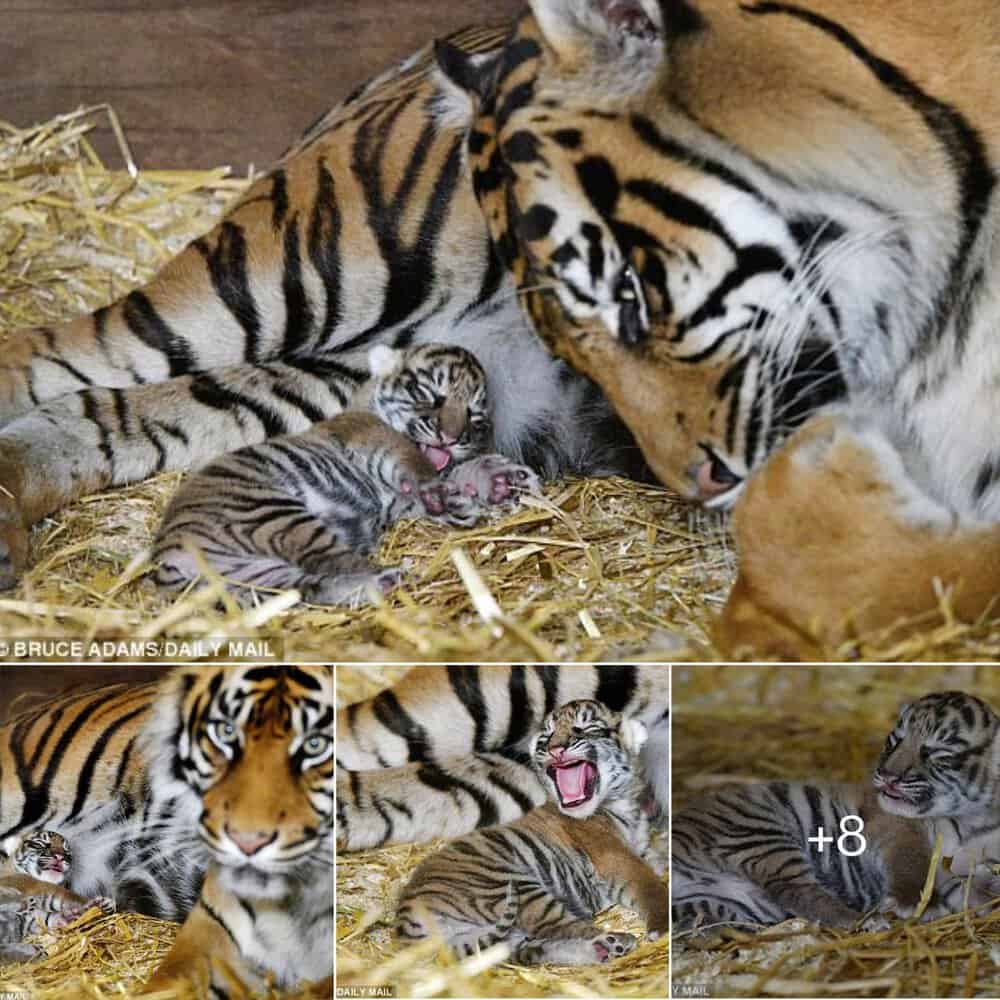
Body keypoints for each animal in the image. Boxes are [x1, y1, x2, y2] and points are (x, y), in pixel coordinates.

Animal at [153, 341, 539, 606]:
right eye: (432, 394)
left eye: (475, 415)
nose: (453, 436)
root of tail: (165, 553)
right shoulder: (375, 440)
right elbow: (419, 462)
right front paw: (454, 492)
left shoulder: (399, 501)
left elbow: (452, 474)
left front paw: (498, 482)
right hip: (269, 513)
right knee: (330, 557)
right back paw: (385, 574)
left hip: (256, 576)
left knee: (311, 585)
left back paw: (381, 583)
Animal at [396, 698, 667, 965]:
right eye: (547, 737)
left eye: (584, 728)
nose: (555, 749)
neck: (624, 802)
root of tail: (402, 925)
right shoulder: (614, 856)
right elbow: (648, 883)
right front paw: (663, 926)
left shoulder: (643, 849)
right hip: (508, 886)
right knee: (560, 926)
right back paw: (617, 941)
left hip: (503, 936)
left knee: (533, 950)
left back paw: (608, 947)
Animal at [672, 691, 1000, 933]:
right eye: (893, 741)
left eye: (935, 753)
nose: (886, 775)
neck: (971, 818)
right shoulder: (893, 829)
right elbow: (910, 859)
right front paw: (917, 903)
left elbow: (971, 889)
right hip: (759, 835)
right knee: (797, 891)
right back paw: (865, 921)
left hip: (731, 901)